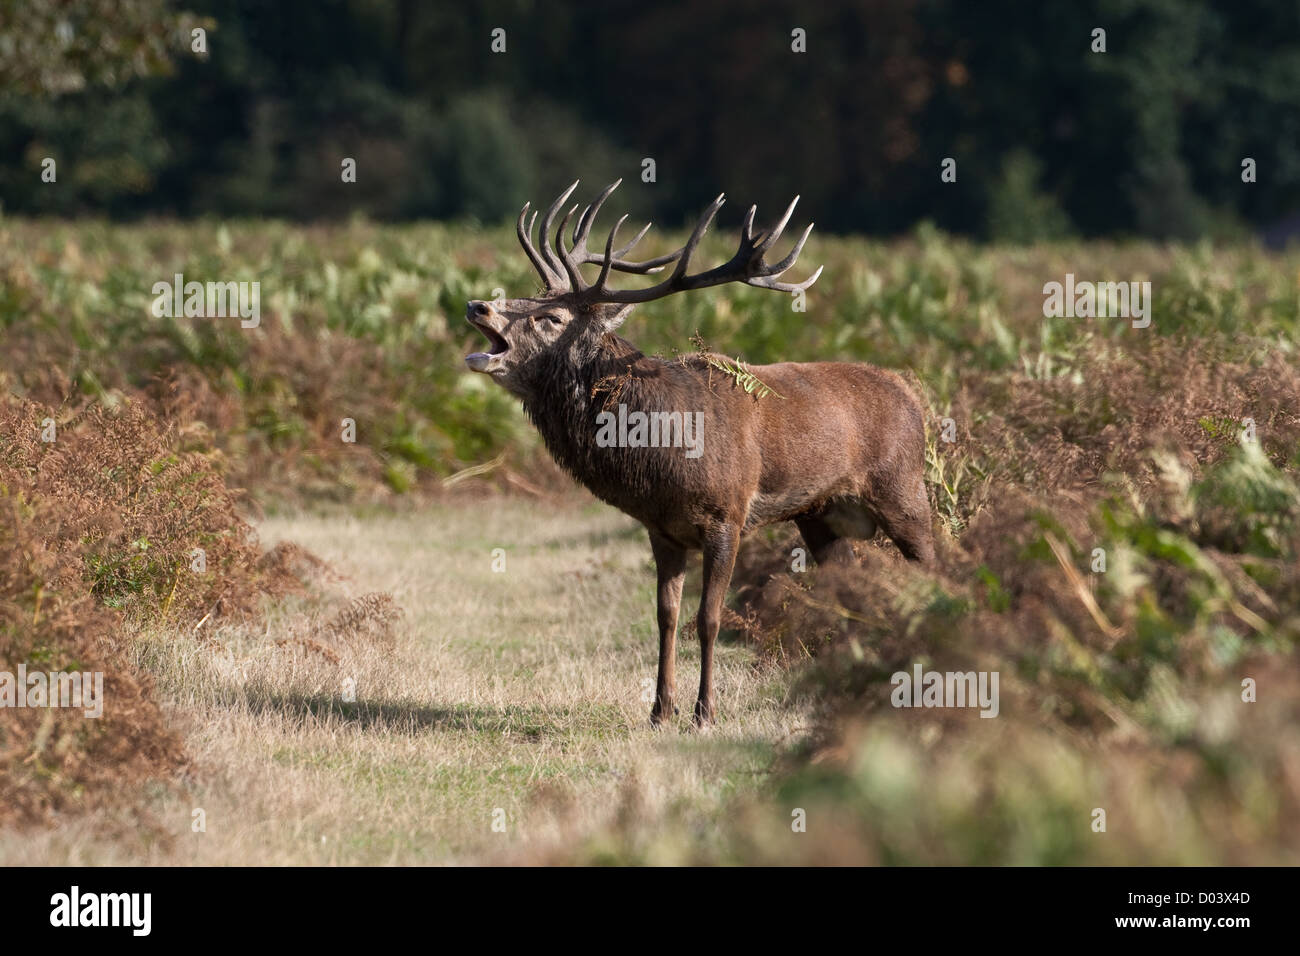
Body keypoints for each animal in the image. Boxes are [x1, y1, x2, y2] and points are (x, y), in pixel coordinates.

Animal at [464, 180, 934, 728]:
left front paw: (705, 710)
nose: (477, 305)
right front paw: (660, 709)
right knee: (853, 589)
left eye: (550, 316)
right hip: (820, 516)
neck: (661, 450)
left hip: (903, 489)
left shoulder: (727, 515)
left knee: (933, 566)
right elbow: (666, 616)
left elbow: (708, 617)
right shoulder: (662, 529)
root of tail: (912, 393)